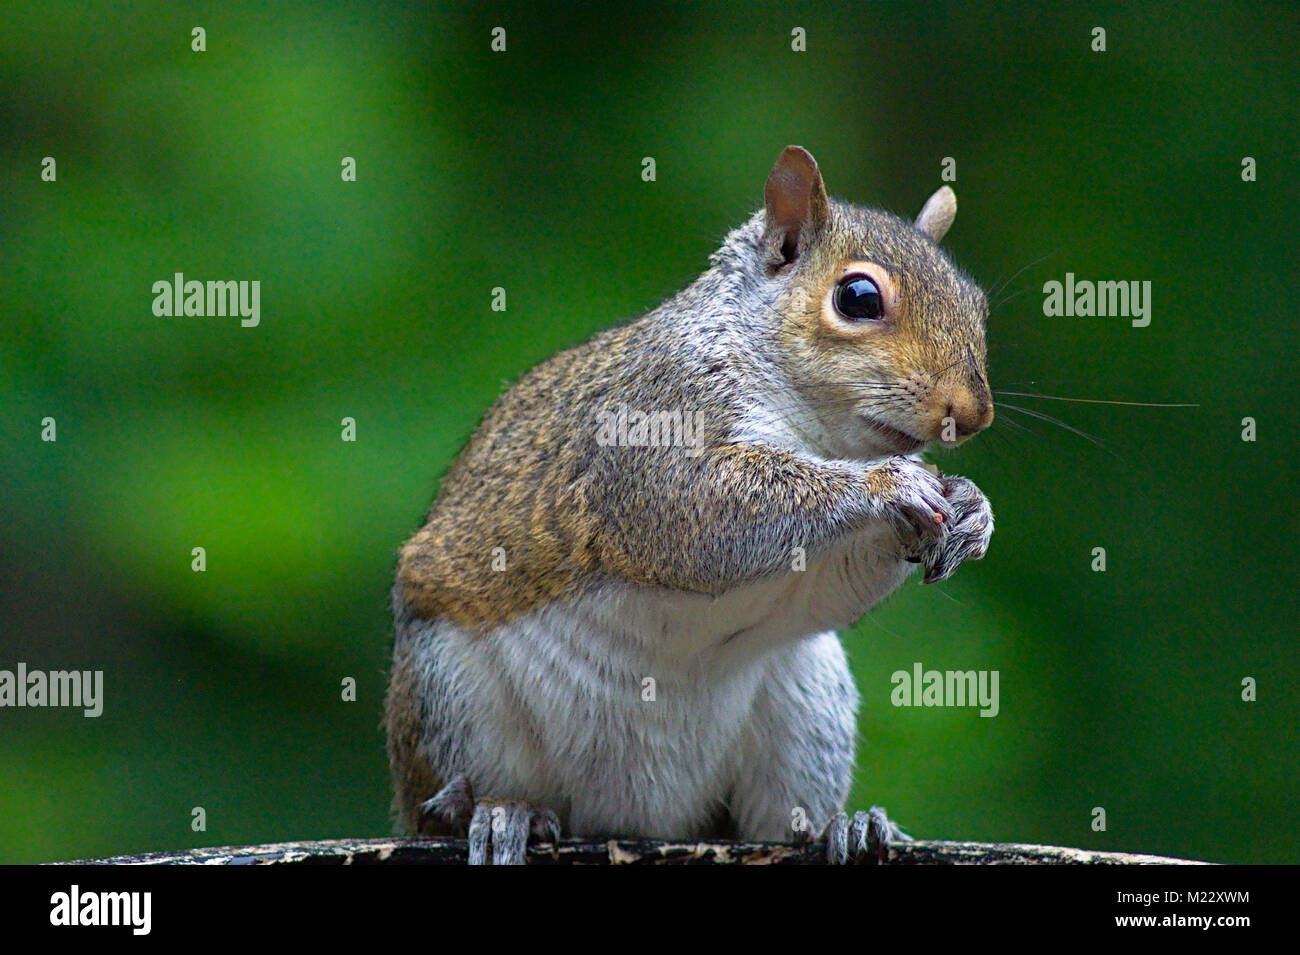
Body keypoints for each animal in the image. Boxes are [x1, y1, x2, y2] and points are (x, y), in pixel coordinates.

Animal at [385, 146, 994, 864]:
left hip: (805, 706)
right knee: (461, 796)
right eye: (858, 297)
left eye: (978, 304)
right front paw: (888, 484)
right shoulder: (648, 435)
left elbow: (821, 594)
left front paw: (972, 508)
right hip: (452, 695)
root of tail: (637, 817)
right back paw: (503, 814)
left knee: (774, 825)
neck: (820, 433)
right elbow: (698, 516)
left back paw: (845, 828)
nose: (973, 413)